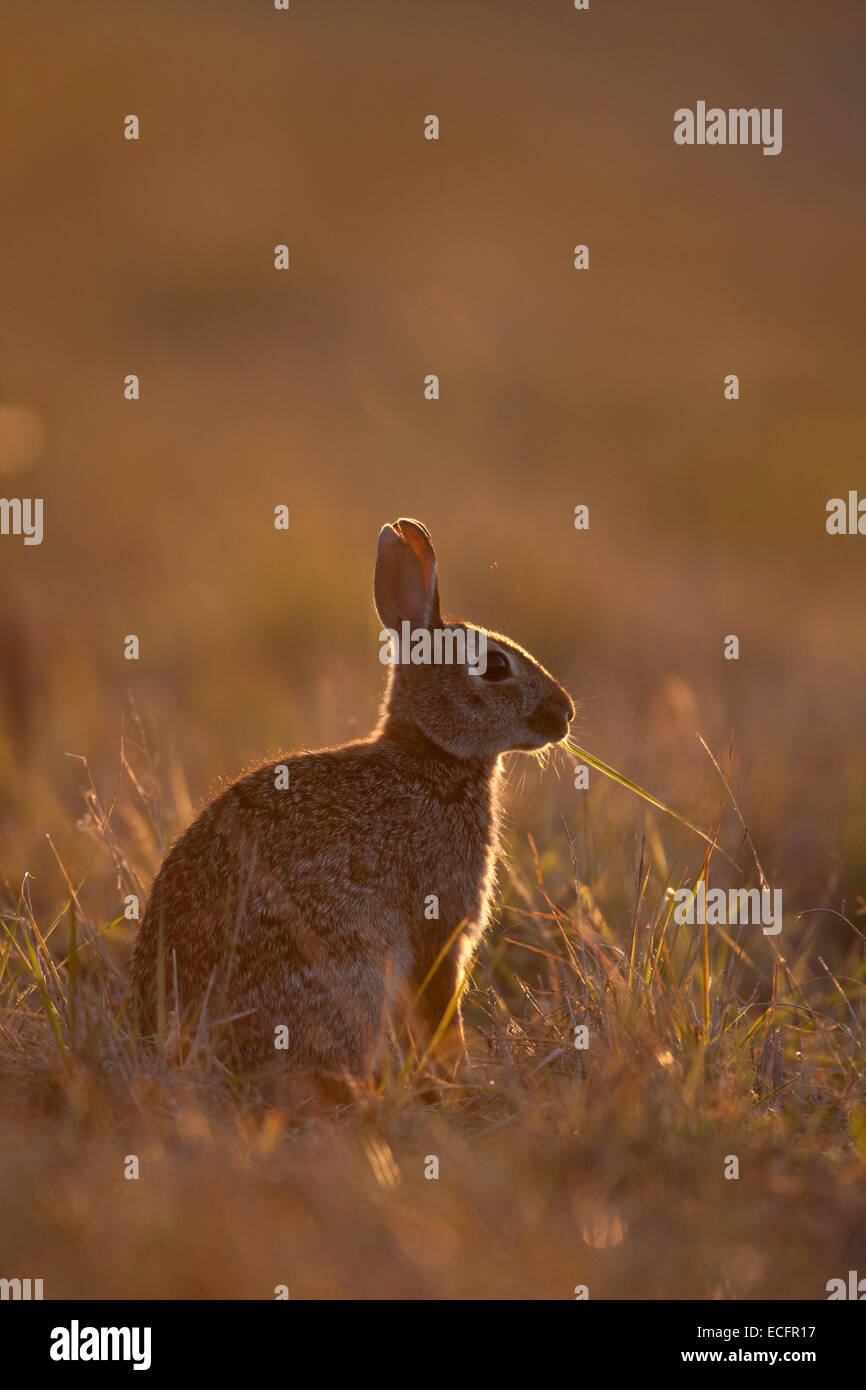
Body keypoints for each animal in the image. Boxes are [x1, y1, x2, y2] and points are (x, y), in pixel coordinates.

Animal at [130, 519, 574, 1095]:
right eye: (494, 666)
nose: (565, 712)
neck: (433, 756)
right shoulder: (438, 924)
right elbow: (436, 1011)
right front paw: (457, 1076)